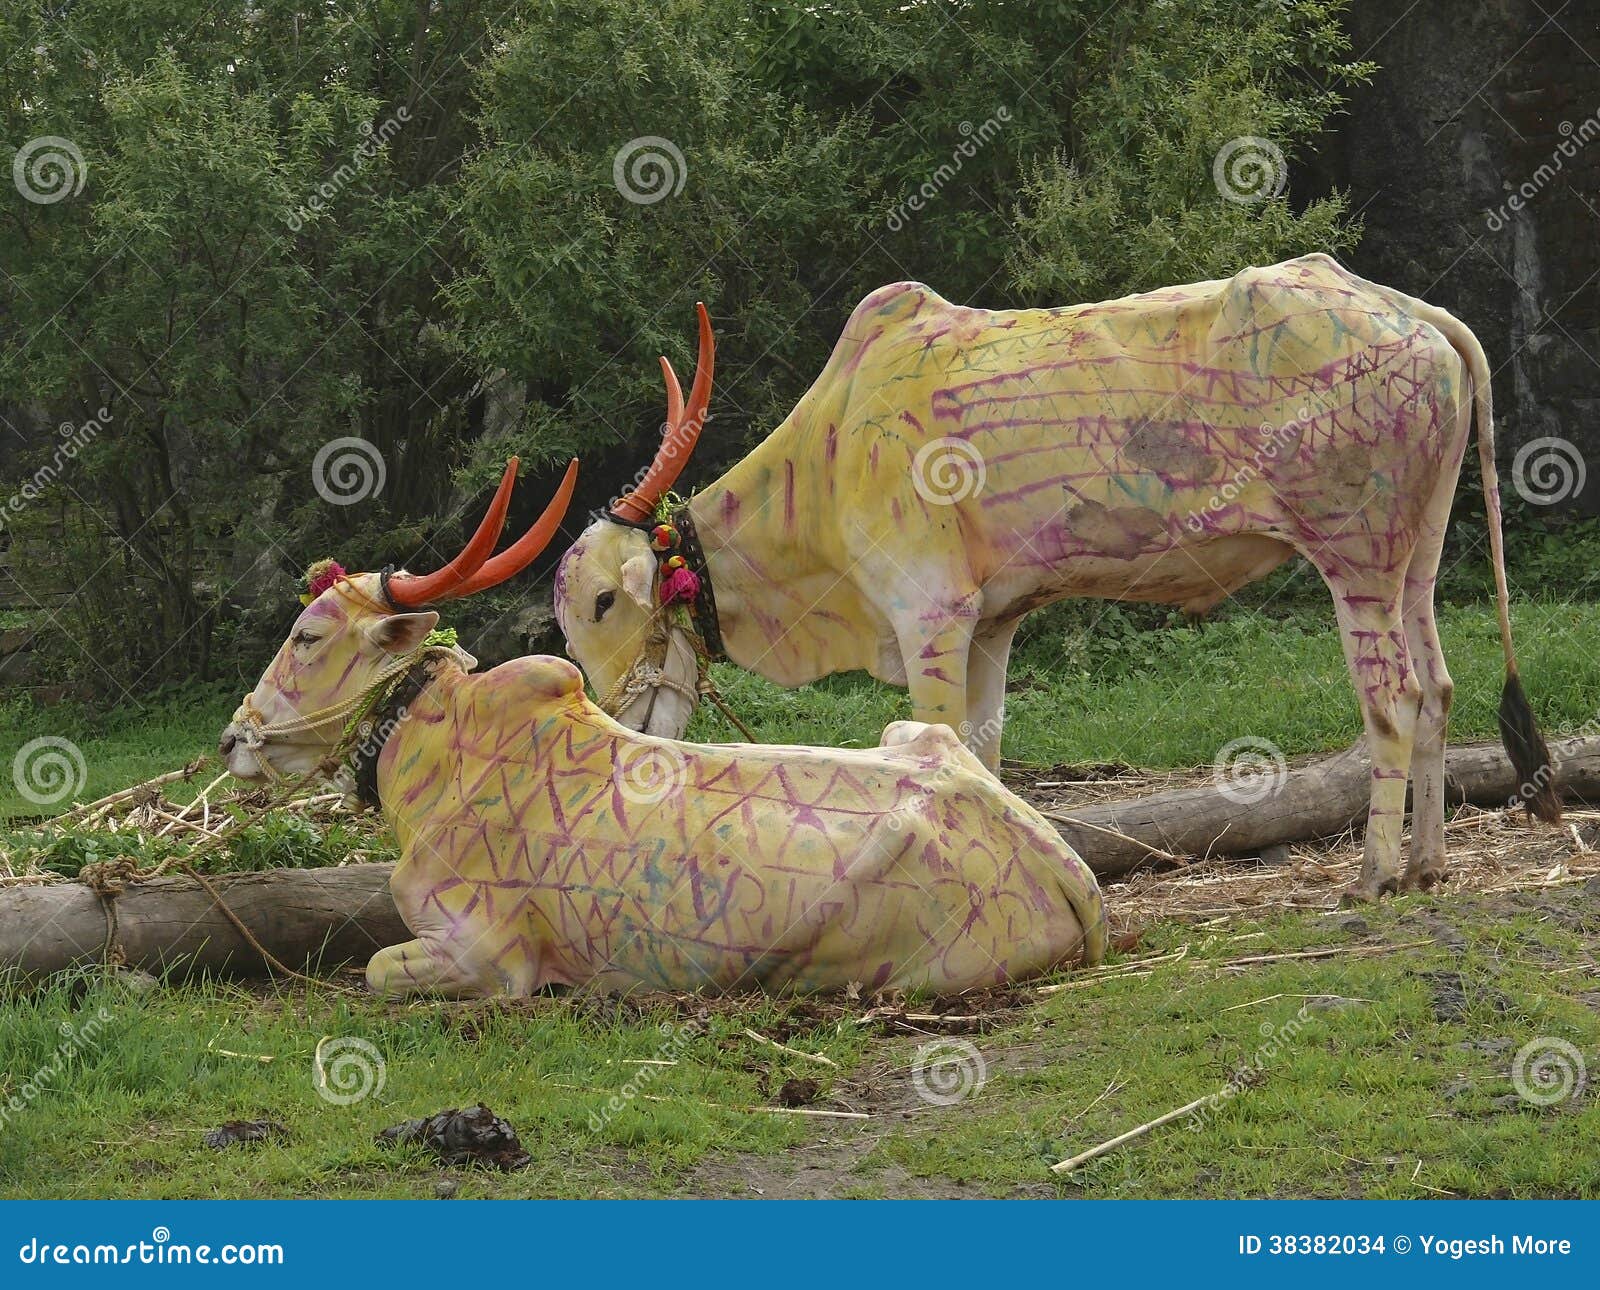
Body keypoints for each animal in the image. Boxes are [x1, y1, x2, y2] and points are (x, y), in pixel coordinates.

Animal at [217, 459, 1105, 997]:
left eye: (308, 636)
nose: (233, 738)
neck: (444, 744)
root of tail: (1064, 866)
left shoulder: (487, 955)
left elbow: (375, 969)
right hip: (915, 733)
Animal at [555, 255, 1559, 904]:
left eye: (603, 602)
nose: (611, 723)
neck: (829, 460)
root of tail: (1402, 308)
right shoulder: (994, 624)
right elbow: (986, 757)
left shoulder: (931, 617)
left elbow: (933, 747)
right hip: (1414, 555)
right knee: (1439, 687)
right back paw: (1428, 866)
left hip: (1355, 558)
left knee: (1393, 702)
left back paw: (1375, 875)